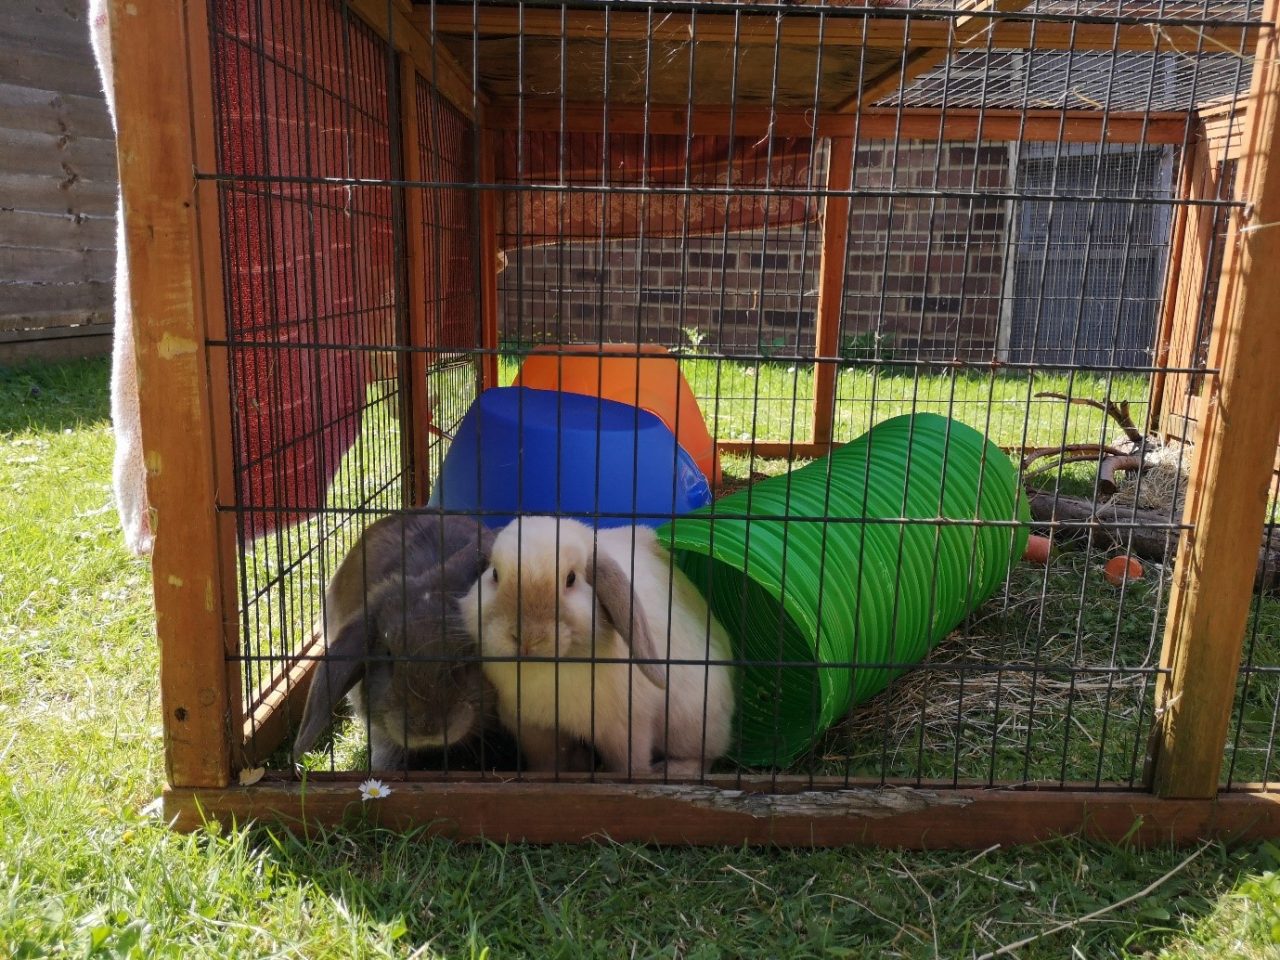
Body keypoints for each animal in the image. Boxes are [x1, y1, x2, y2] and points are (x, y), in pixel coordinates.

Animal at [460, 515, 735, 778]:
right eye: (495, 574)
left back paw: (676, 770)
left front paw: (638, 777)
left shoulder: (626, 728)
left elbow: (630, 765)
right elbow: (547, 763)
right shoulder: (535, 731)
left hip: (690, 724)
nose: (527, 637)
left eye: (571, 579)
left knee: (704, 756)